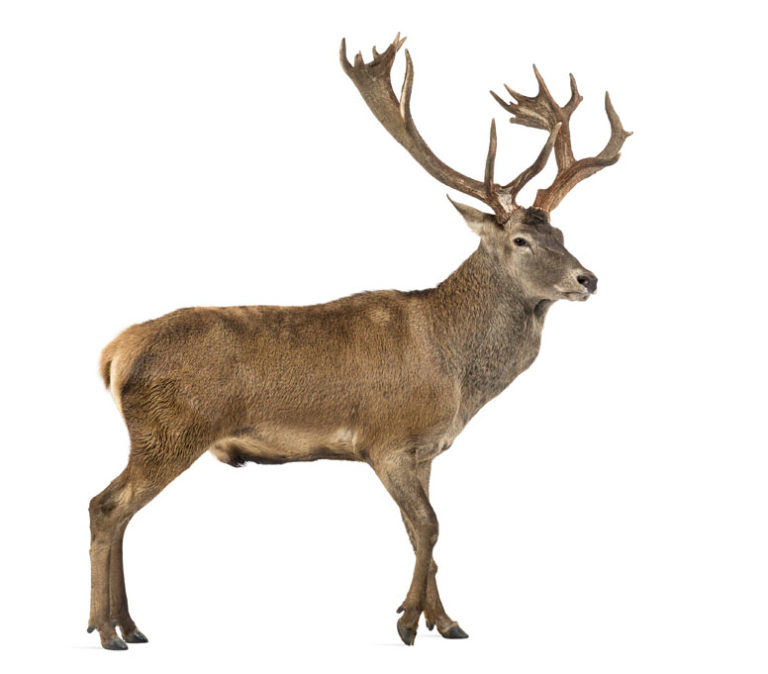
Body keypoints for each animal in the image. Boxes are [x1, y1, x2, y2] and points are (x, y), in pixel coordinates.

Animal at [87, 34, 630, 650]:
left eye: (560, 232)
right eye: (521, 240)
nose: (587, 278)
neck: (457, 374)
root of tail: (114, 353)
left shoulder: (426, 449)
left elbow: (424, 531)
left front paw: (445, 621)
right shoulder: (385, 438)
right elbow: (428, 526)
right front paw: (409, 622)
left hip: (157, 436)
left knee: (120, 512)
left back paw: (128, 625)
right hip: (171, 430)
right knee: (106, 506)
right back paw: (106, 629)